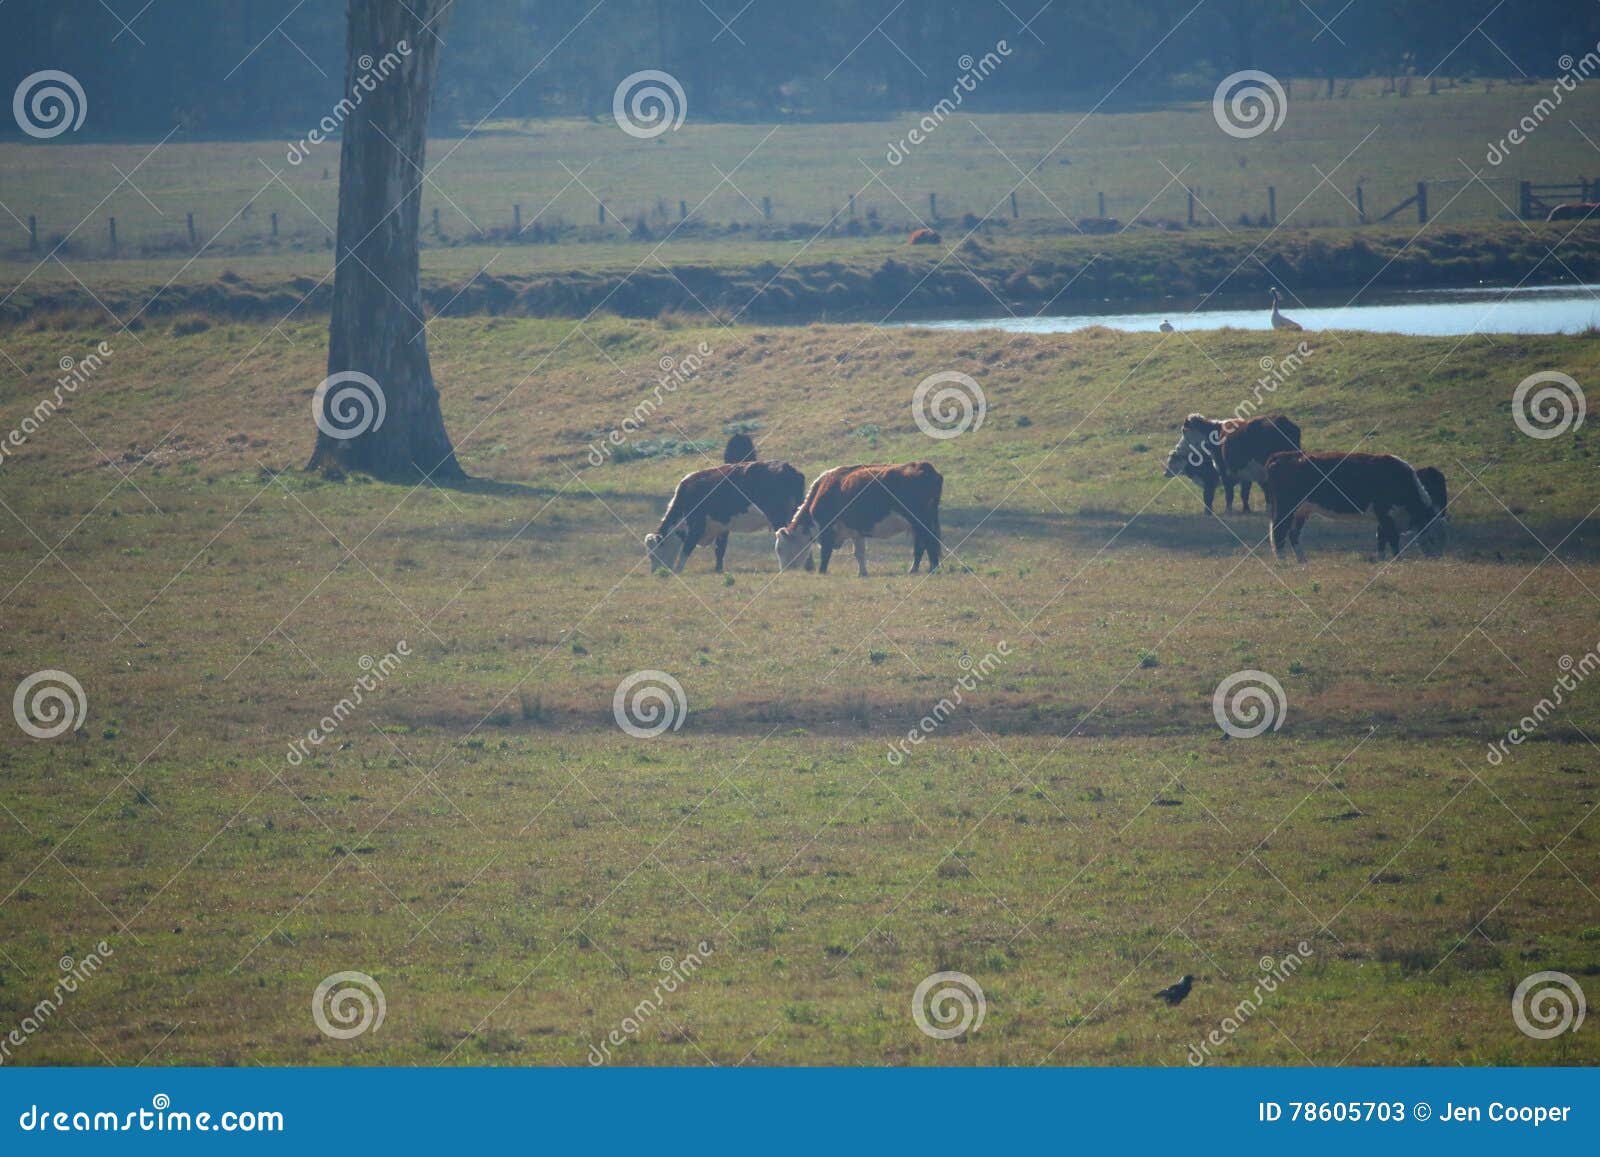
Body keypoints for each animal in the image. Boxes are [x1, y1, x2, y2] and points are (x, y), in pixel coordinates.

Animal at [645, 460, 807, 573]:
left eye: (653, 555)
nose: (656, 573)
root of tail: (788, 467)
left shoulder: (696, 525)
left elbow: (687, 548)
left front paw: (677, 571)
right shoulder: (722, 527)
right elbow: (720, 549)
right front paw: (718, 570)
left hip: (778, 516)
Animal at [775, 462, 943, 576]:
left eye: (779, 548)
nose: (783, 572)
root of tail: (924, 466)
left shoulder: (827, 530)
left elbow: (826, 552)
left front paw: (822, 571)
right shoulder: (857, 532)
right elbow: (859, 553)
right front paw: (862, 573)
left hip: (921, 521)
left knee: (929, 542)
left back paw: (931, 569)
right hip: (919, 524)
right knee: (921, 546)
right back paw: (917, 569)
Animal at [1264, 451, 1448, 561]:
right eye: (1431, 535)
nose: (1436, 556)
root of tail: (1282, 455)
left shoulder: (1383, 518)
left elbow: (1381, 538)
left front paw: (1382, 560)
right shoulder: (1384, 512)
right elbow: (1392, 538)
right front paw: (1397, 560)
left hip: (1302, 510)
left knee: (1293, 533)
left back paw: (1303, 561)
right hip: (1286, 508)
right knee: (1279, 532)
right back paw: (1282, 561)